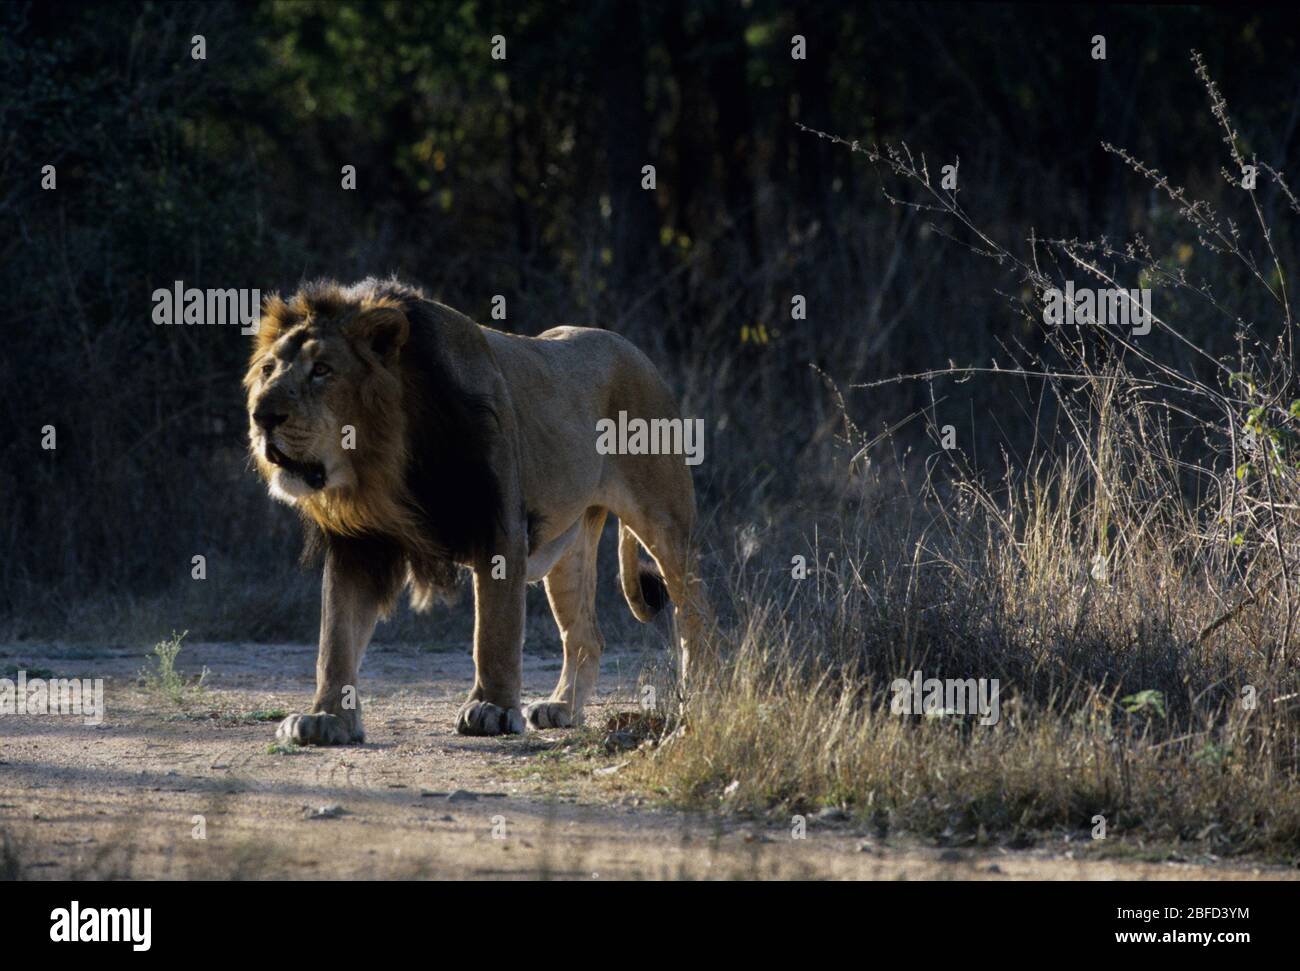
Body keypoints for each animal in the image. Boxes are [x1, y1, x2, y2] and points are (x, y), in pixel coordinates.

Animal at [243, 277, 712, 742]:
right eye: (268, 370)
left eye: (322, 370)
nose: (261, 416)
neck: (384, 460)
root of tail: (634, 350)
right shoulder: (360, 543)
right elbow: (335, 637)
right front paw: (327, 718)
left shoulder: (501, 527)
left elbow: (494, 632)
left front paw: (493, 708)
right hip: (571, 545)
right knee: (586, 635)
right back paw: (562, 707)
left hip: (666, 522)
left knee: (696, 617)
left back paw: (698, 701)